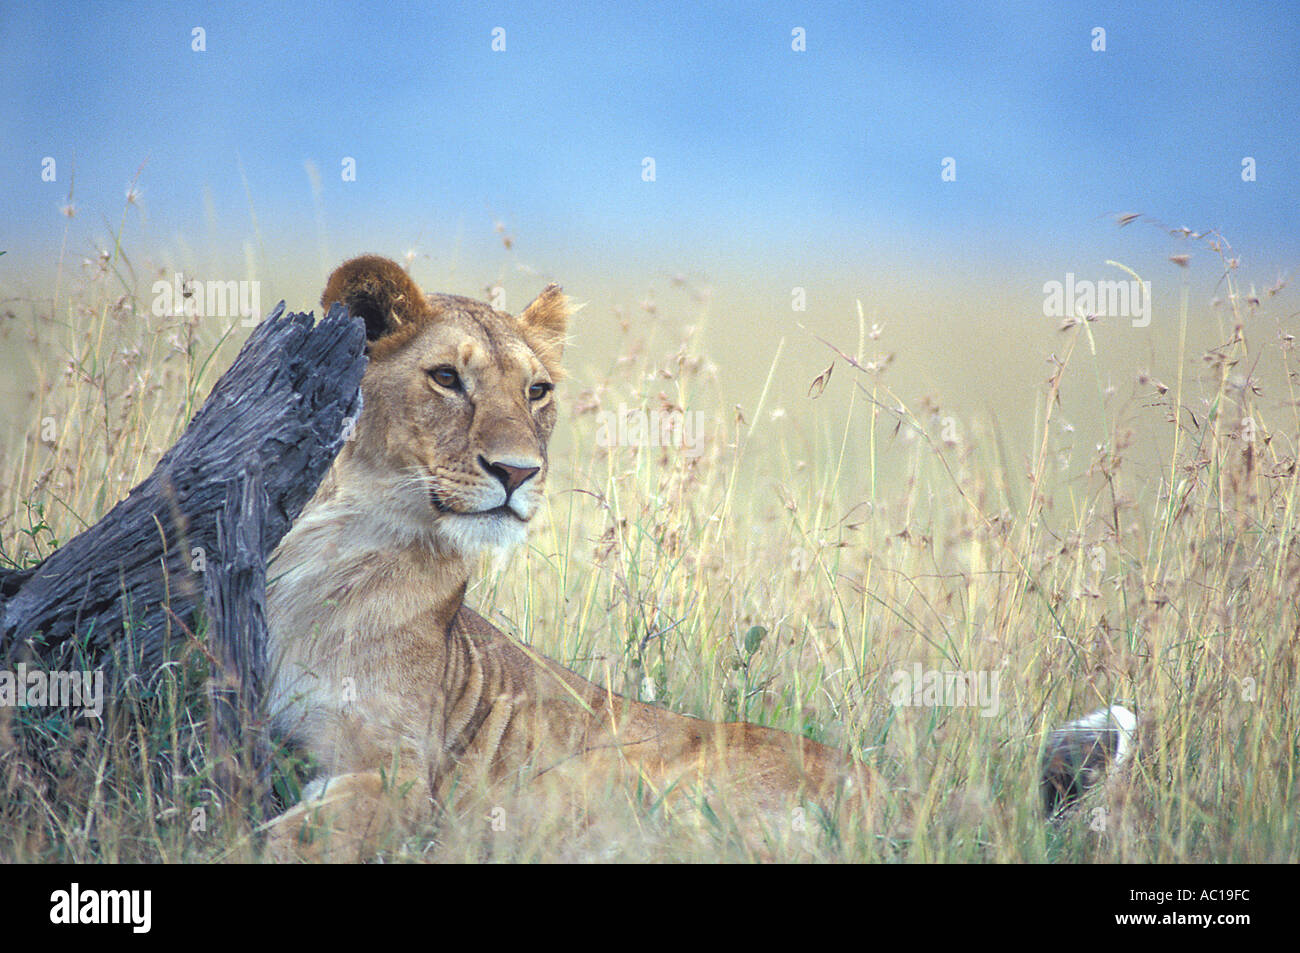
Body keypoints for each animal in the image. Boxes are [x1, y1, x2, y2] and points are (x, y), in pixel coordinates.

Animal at [261, 256, 1134, 861]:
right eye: (446, 378)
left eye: (538, 390)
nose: (519, 473)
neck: (336, 538)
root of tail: (902, 792)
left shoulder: (404, 776)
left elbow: (281, 837)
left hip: (630, 794)